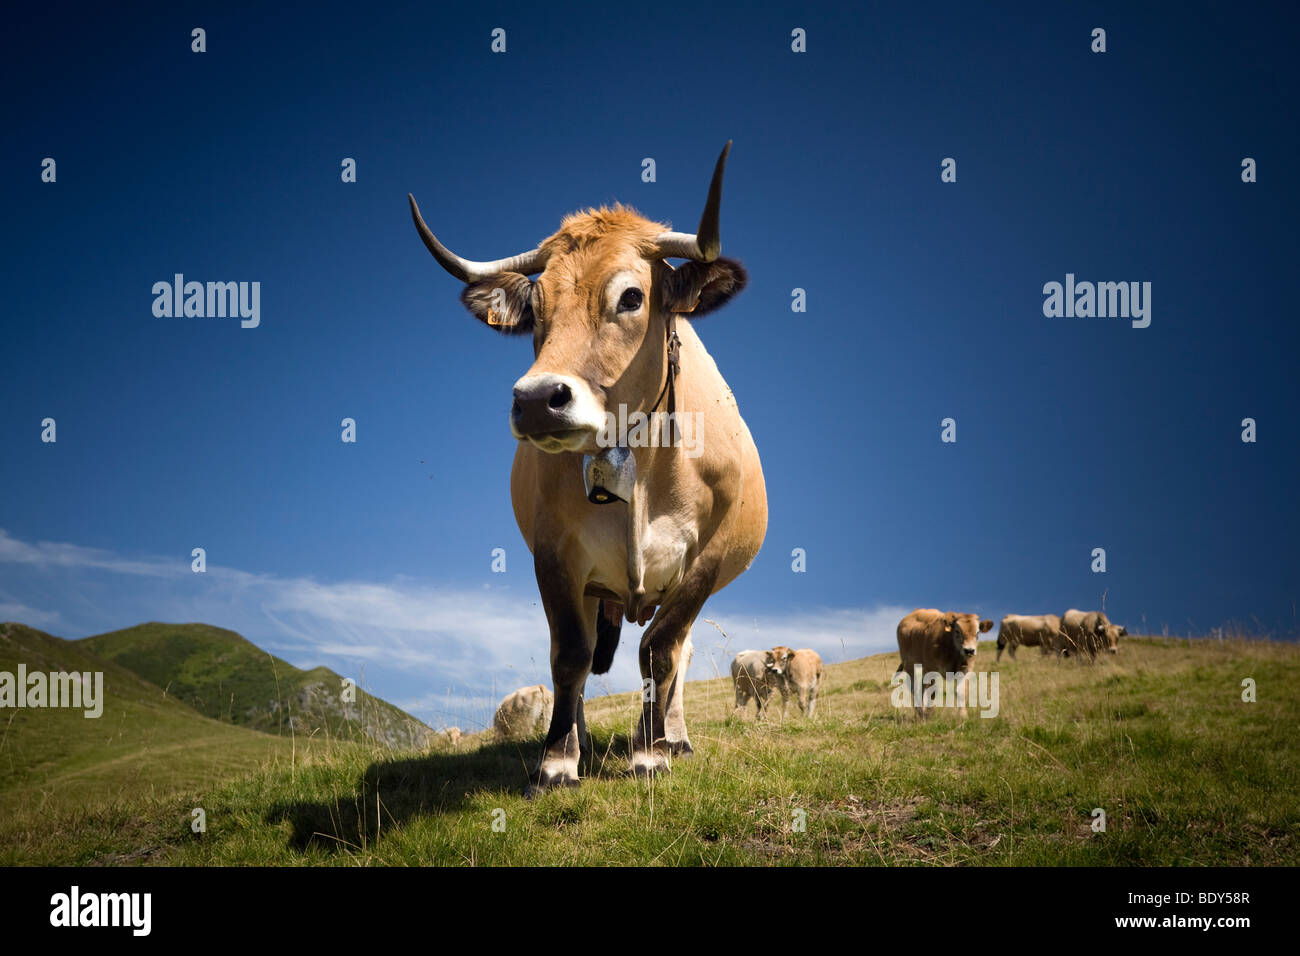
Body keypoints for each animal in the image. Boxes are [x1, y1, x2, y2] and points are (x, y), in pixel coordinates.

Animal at [410, 144, 767, 792]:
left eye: (631, 297)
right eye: (536, 308)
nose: (536, 400)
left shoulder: (708, 558)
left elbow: (662, 649)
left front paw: (650, 752)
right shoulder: (555, 553)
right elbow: (569, 653)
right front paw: (557, 760)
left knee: (679, 652)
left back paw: (674, 736)